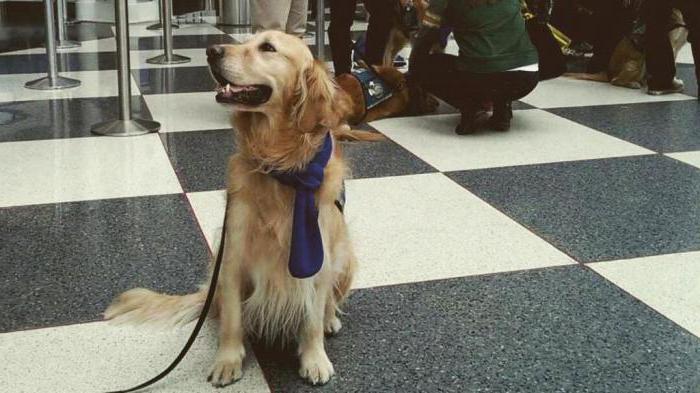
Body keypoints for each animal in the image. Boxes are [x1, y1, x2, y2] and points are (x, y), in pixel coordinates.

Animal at [106, 31, 364, 386]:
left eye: (268, 47)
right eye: (246, 40)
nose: (211, 50)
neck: (279, 163)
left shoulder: (320, 257)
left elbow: (311, 317)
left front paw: (315, 359)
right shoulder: (232, 258)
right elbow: (231, 320)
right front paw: (227, 361)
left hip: (346, 256)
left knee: (328, 305)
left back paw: (330, 320)